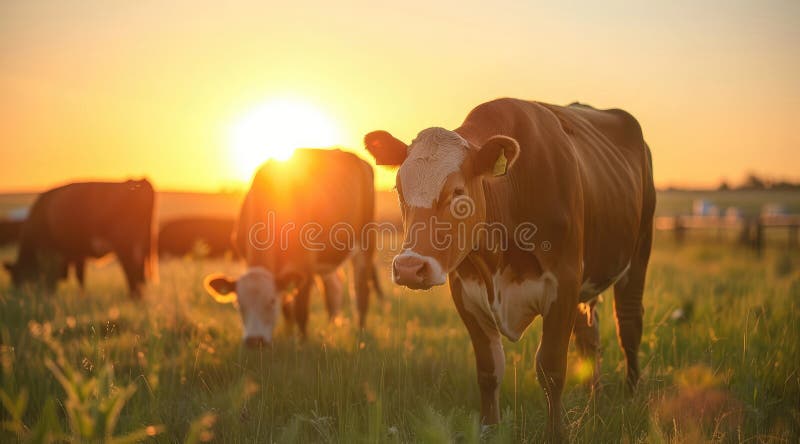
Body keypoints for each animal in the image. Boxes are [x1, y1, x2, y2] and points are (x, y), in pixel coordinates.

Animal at [3, 180, 158, 298]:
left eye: (18, 278)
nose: (20, 295)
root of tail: (139, 182)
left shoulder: (56, 253)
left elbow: (59, 276)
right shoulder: (77, 254)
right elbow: (79, 276)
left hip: (125, 246)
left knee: (131, 269)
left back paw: (134, 297)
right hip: (140, 245)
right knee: (139, 271)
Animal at [203, 149, 383, 347]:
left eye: (271, 301)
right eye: (239, 305)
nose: (254, 341)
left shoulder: (305, 266)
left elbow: (300, 310)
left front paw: (302, 342)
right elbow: (287, 307)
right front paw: (289, 335)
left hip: (365, 244)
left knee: (361, 291)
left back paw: (361, 332)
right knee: (333, 287)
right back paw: (332, 326)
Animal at [364, 98, 655, 439]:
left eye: (458, 192)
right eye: (399, 189)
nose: (410, 267)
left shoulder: (564, 283)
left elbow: (551, 367)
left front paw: (556, 434)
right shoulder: (466, 293)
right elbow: (489, 370)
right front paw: (489, 430)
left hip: (638, 253)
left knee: (629, 326)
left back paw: (631, 395)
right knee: (588, 336)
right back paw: (592, 397)